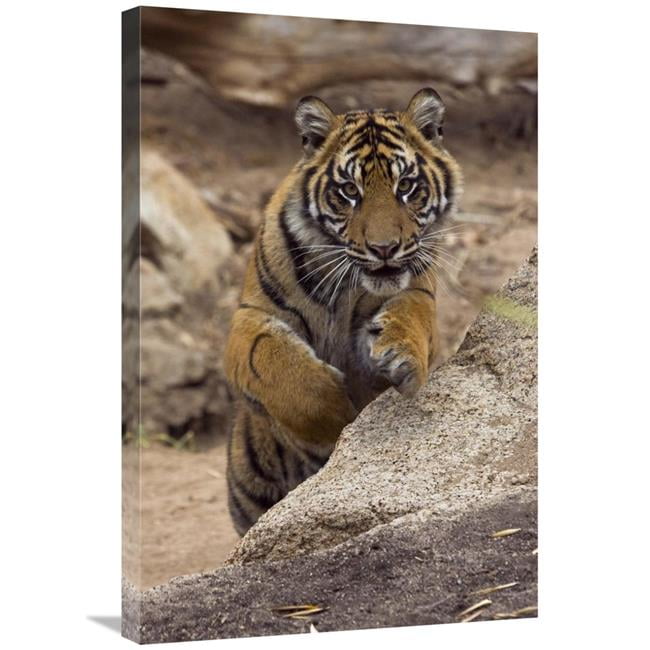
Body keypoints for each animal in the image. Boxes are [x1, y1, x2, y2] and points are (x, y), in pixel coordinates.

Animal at [224, 88, 463, 536]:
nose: (384, 249)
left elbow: (411, 316)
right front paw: (338, 419)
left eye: (407, 186)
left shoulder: (418, 289)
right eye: (349, 190)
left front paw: (401, 359)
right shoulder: (251, 318)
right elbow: (282, 369)